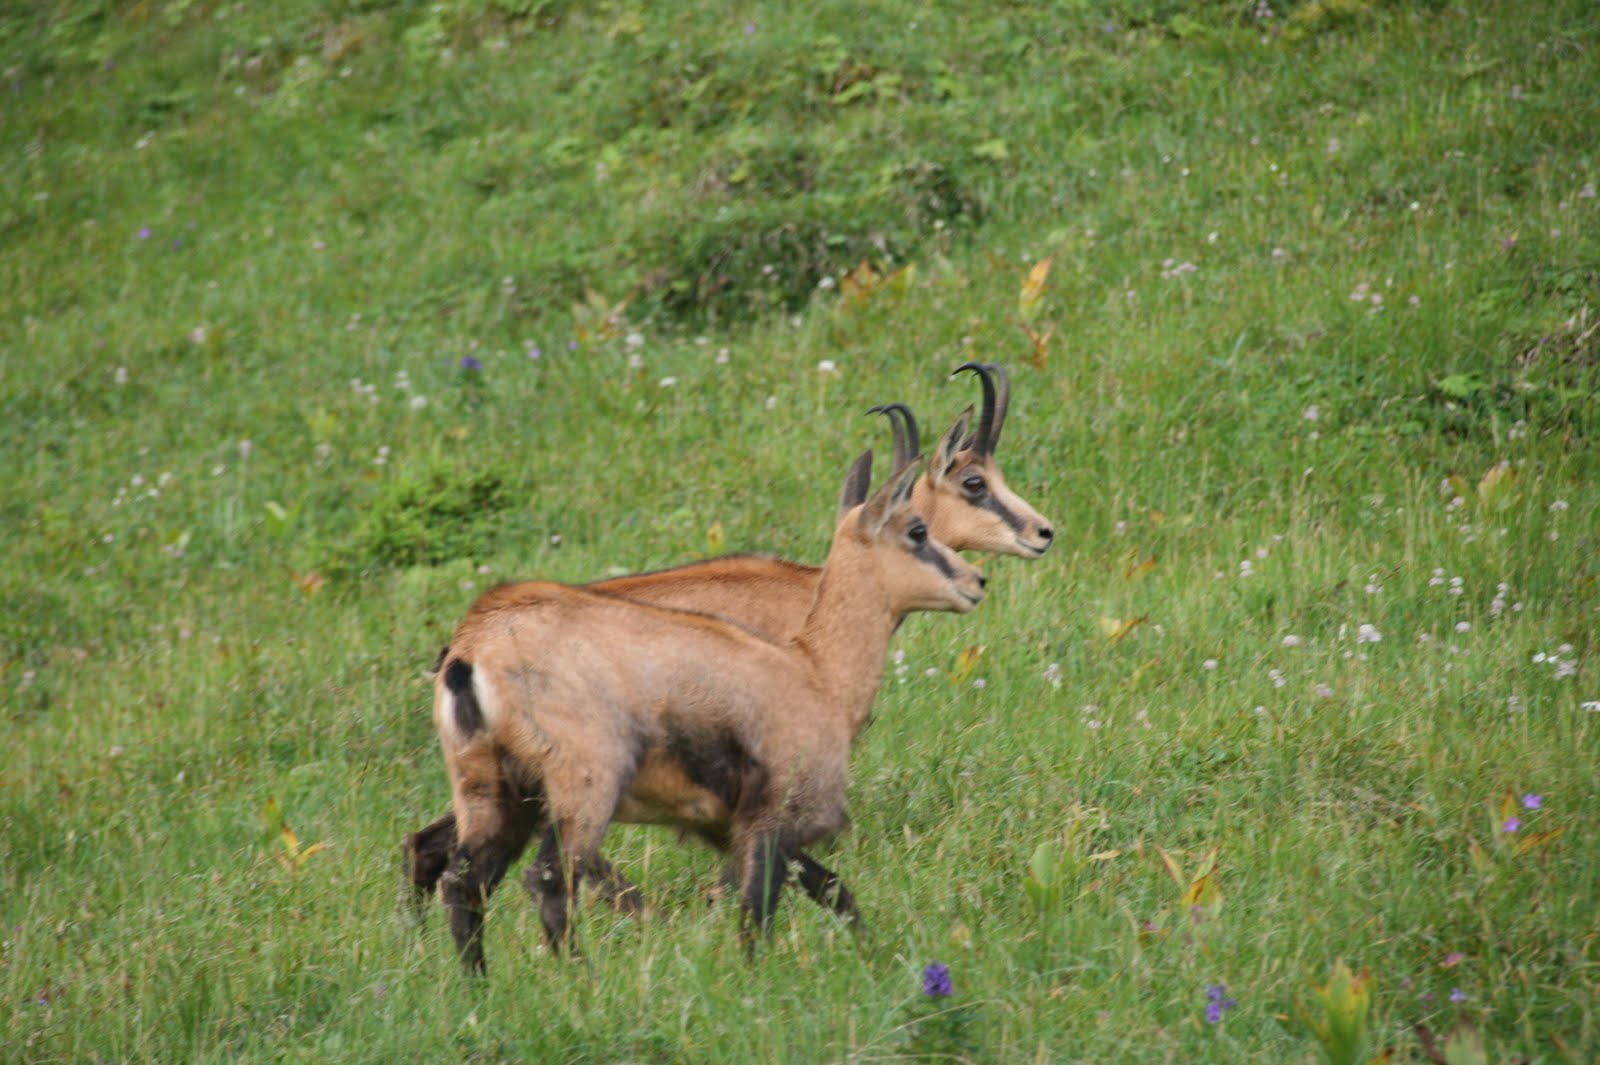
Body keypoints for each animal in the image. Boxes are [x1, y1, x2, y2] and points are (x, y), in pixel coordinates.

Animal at [432, 458, 985, 973]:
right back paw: (580, 982)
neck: (818, 670)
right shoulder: (773, 816)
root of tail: (473, 652)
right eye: (917, 530)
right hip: (583, 787)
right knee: (546, 880)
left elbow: (832, 888)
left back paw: (478, 989)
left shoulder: (730, 827)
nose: (977, 581)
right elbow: (758, 914)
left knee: (463, 882)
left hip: (492, 793)